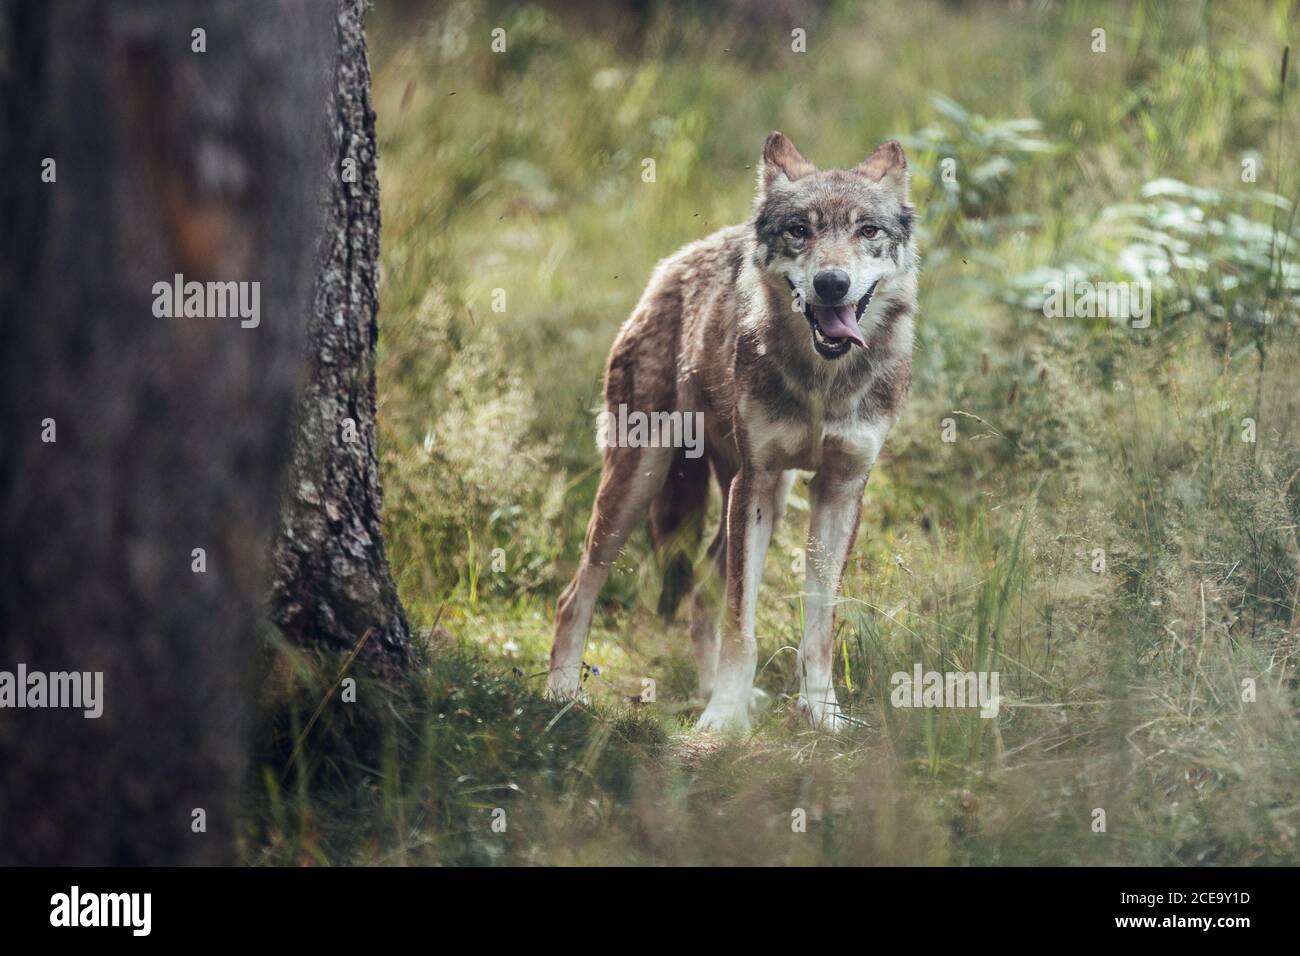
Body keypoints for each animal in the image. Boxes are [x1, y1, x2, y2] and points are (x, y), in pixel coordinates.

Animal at [546, 131, 918, 732]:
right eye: (799, 230)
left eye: (868, 231)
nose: (831, 283)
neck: (822, 382)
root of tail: (673, 265)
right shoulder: (756, 482)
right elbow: (742, 622)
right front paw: (723, 720)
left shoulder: (839, 489)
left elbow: (819, 628)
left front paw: (822, 714)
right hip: (639, 482)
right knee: (576, 592)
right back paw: (561, 691)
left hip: (756, 493)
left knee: (701, 584)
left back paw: (704, 688)